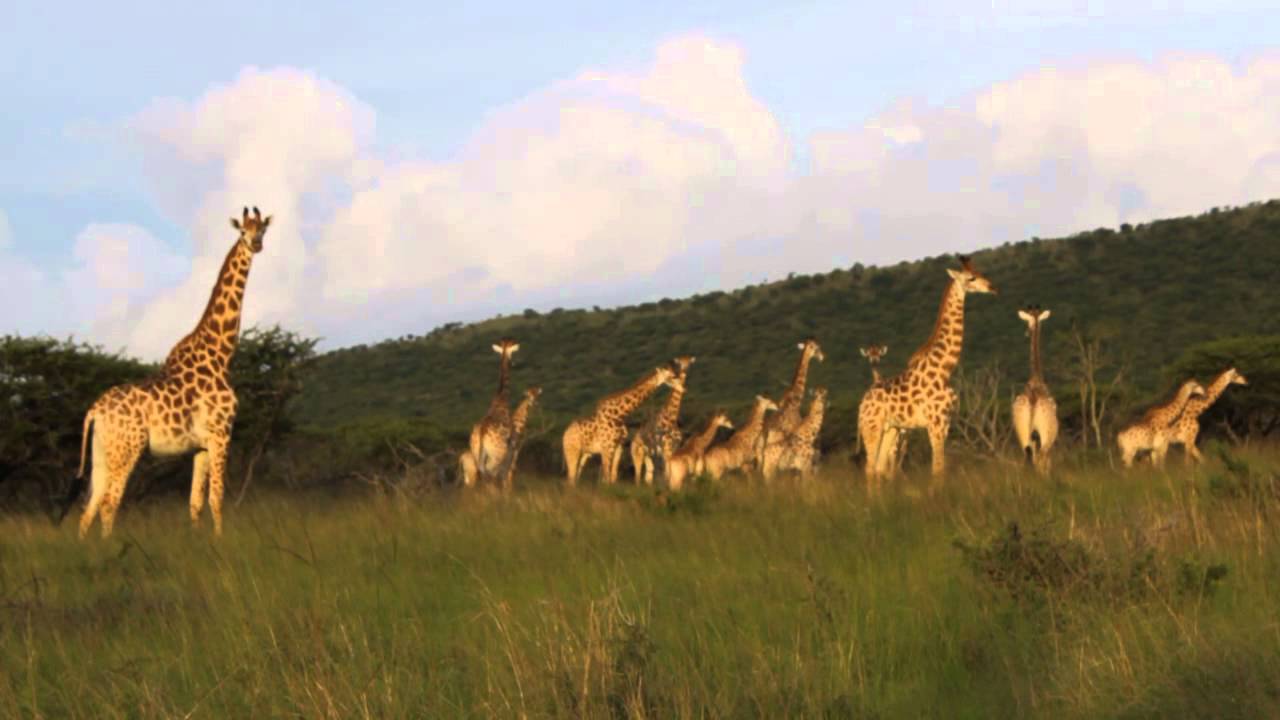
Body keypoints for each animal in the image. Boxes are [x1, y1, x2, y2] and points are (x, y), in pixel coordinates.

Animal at [72, 206, 272, 538]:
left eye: (263, 230)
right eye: (243, 231)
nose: (256, 245)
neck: (220, 355)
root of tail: (94, 411)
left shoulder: (199, 446)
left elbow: (195, 503)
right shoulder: (221, 433)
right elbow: (217, 497)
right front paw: (222, 542)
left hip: (103, 452)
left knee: (89, 506)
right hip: (128, 448)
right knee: (109, 503)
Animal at [463, 338, 520, 487]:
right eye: (513, 353)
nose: (513, 363)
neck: (501, 399)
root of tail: (482, 434)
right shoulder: (511, 453)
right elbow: (506, 480)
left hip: (478, 457)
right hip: (496, 457)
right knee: (494, 479)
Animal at [630, 355, 696, 485]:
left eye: (689, 363)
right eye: (680, 363)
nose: (684, 371)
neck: (672, 417)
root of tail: (633, 440)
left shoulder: (674, 448)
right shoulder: (665, 450)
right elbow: (667, 474)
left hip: (649, 456)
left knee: (648, 475)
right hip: (637, 455)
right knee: (637, 476)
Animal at [858, 256, 997, 491]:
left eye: (980, 272)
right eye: (971, 278)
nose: (992, 287)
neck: (944, 369)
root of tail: (862, 403)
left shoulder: (945, 423)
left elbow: (940, 467)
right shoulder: (936, 423)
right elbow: (938, 470)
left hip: (890, 430)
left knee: (878, 468)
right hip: (872, 428)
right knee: (869, 469)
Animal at [1011, 305, 1058, 474]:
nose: (1026, 333)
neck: (1036, 377)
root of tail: (1033, 400)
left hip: (1022, 430)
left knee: (1027, 454)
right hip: (1047, 433)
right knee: (1041, 458)